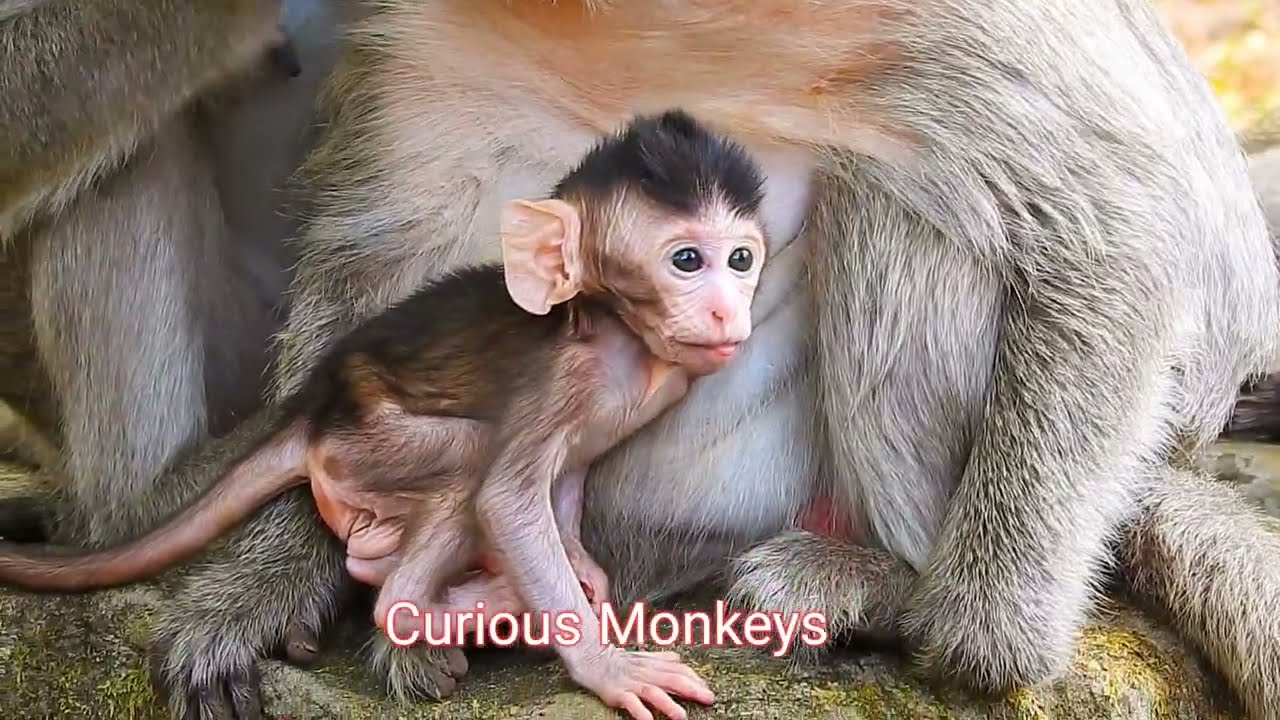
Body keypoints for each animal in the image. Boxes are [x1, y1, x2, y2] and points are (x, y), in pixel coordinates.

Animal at [12, 3, 1280, 720]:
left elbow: (1122, 218)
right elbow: (389, 251)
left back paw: (879, 580)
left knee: (904, 187)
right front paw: (258, 583)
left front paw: (974, 637)